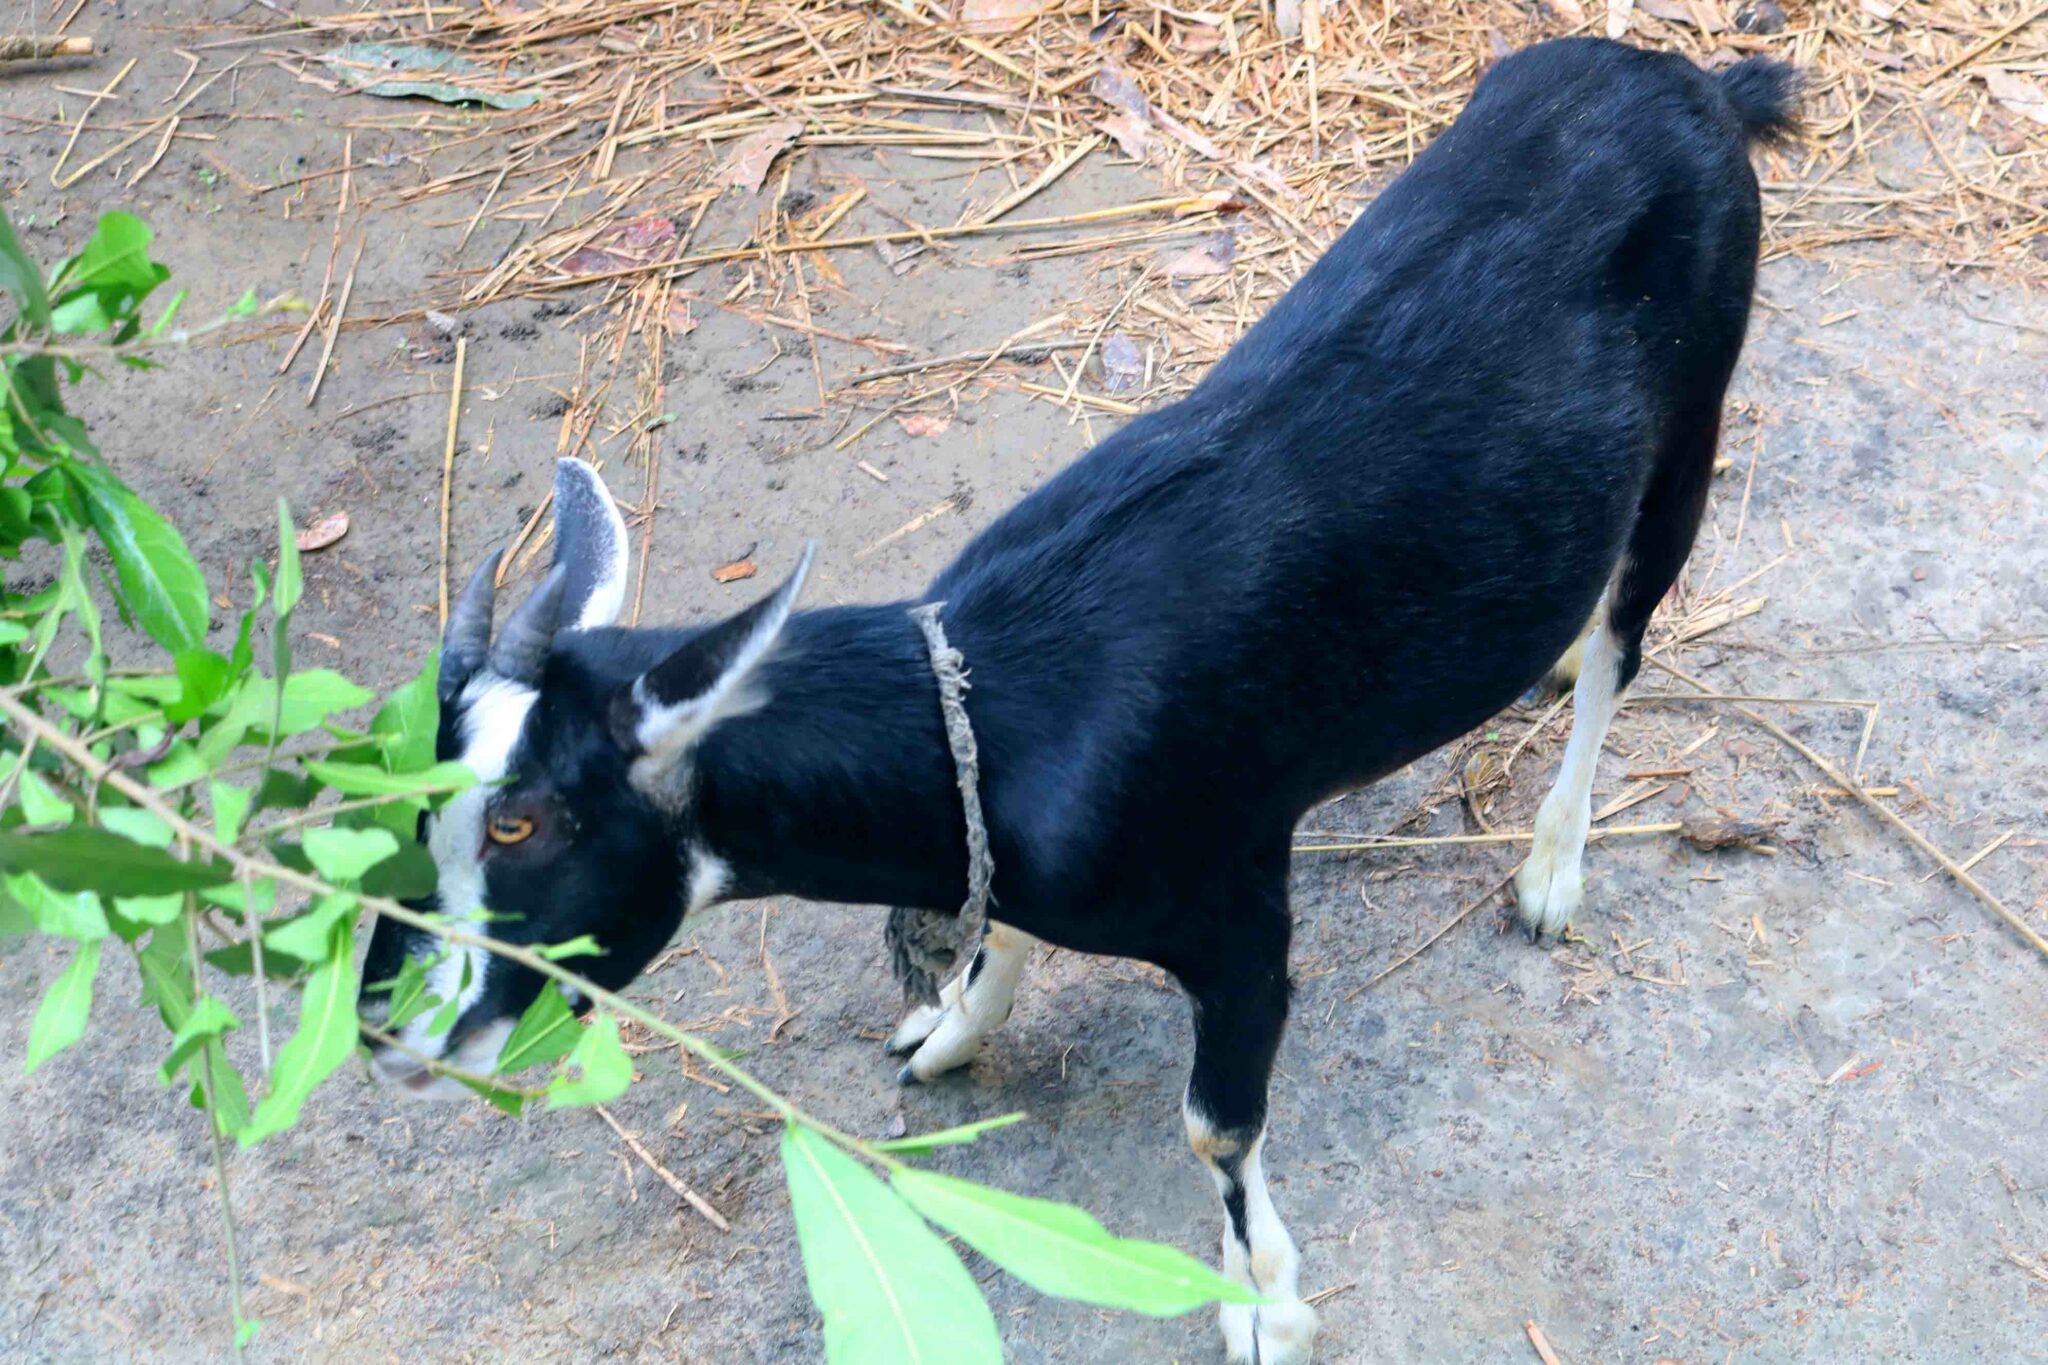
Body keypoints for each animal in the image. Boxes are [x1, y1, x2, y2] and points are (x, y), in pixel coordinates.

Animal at [360, 39, 1798, 1363]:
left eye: (523, 825)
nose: (380, 1025)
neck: (1000, 709)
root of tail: (1697, 83)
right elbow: (995, 931)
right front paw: (950, 1024)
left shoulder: (1233, 899)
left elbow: (1216, 1120)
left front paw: (1267, 1306)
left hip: (1696, 406)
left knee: (1626, 638)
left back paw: (1553, 863)